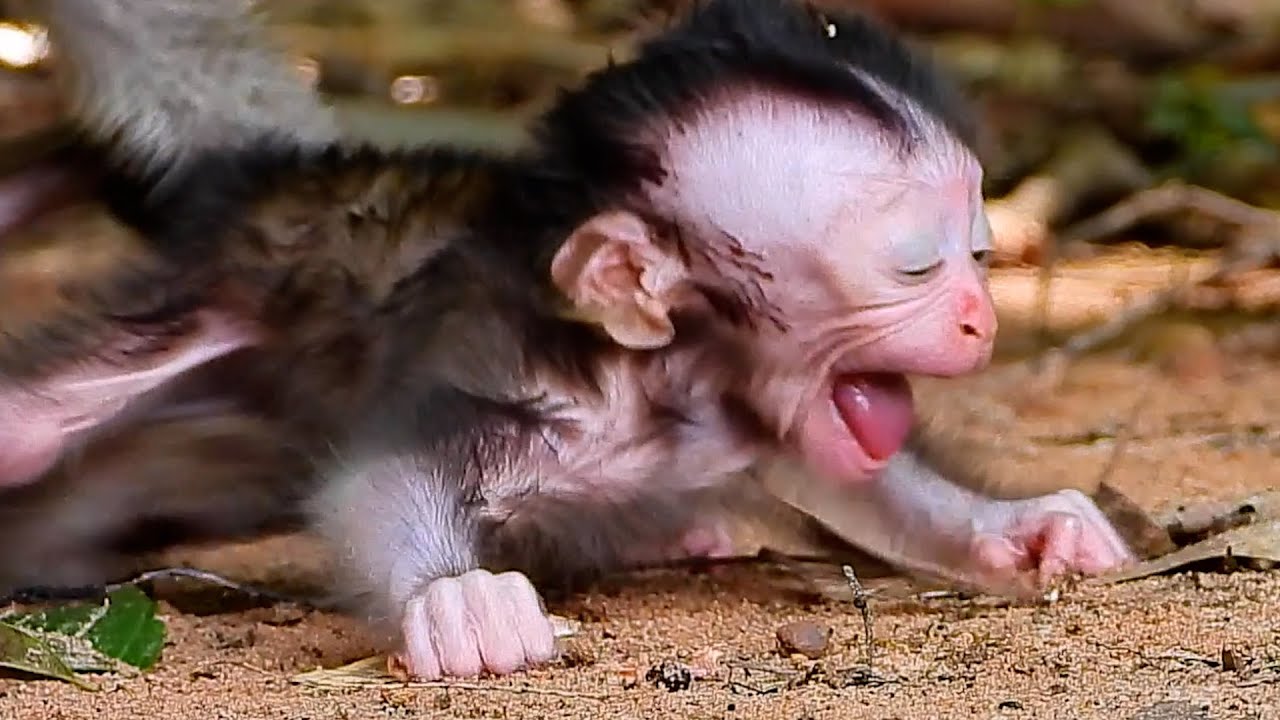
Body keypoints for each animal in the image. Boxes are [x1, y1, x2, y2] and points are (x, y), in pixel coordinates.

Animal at [0, 0, 1137, 681]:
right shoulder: (530, 384)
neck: (663, 385)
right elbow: (384, 481)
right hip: (223, 297)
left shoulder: (763, 420)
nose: (978, 315)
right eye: (915, 266)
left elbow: (861, 484)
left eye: (978, 252)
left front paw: (1022, 528)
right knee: (31, 432)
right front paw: (458, 600)